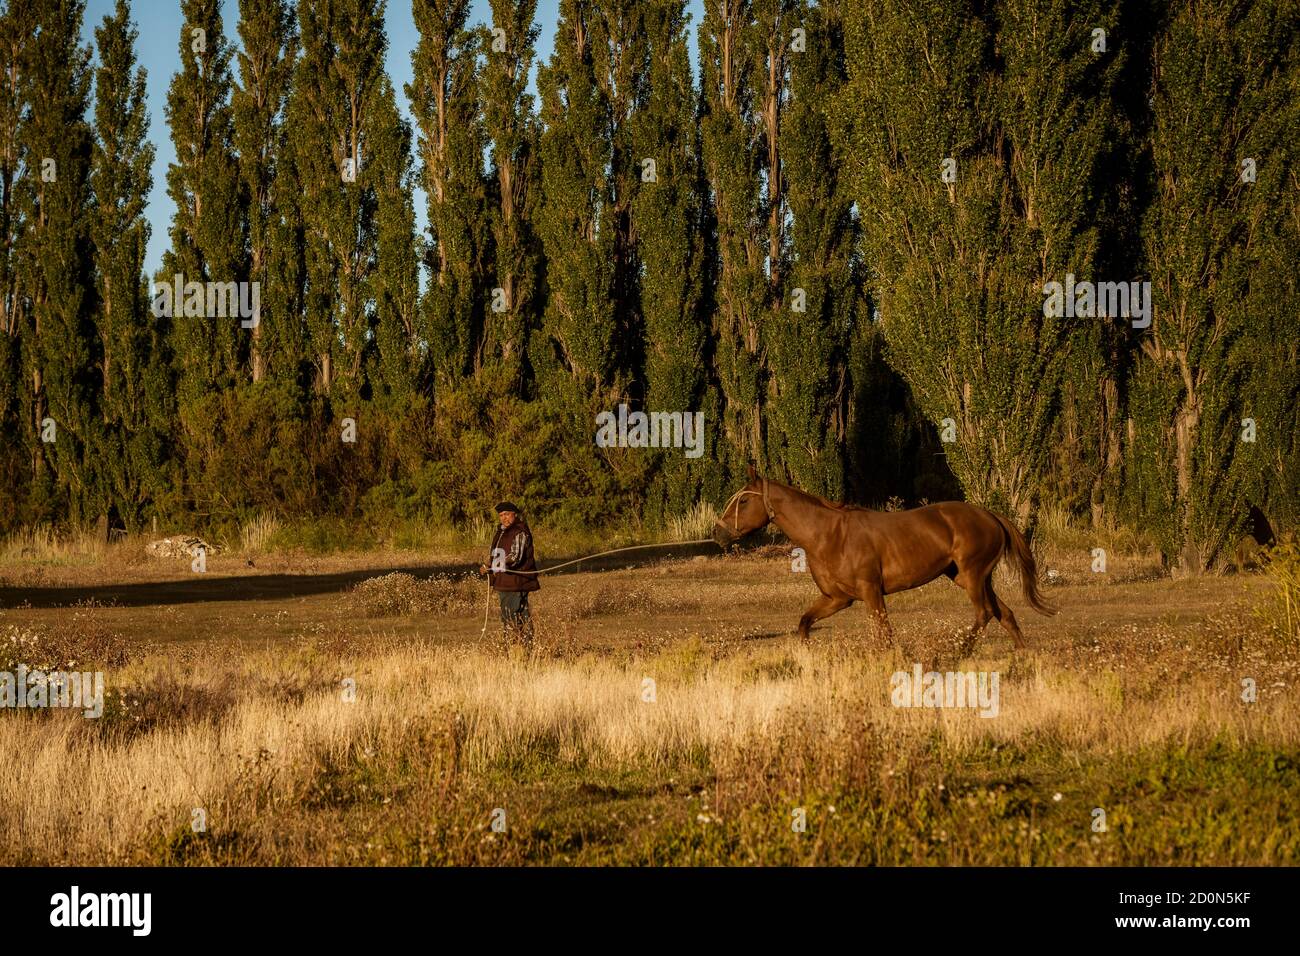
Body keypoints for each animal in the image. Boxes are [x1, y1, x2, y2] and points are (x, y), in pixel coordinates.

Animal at [712, 465, 1055, 650]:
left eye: (743, 501)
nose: (718, 533)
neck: (828, 535)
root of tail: (990, 515)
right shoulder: (838, 598)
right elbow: (804, 623)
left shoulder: (871, 591)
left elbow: (883, 635)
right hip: (972, 577)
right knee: (1004, 613)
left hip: (972, 576)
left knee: (984, 614)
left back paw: (959, 651)